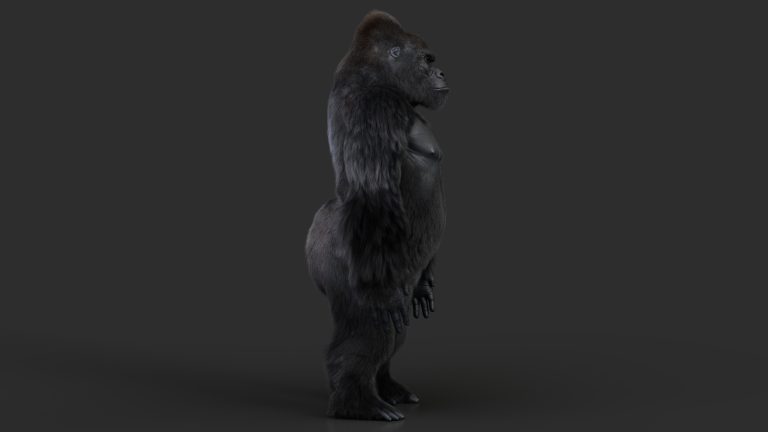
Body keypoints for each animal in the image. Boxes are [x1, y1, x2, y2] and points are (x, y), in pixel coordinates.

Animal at [305, 10, 449, 421]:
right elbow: (375, 193)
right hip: (342, 262)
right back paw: (356, 402)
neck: (377, 75)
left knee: (394, 330)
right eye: (427, 60)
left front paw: (426, 284)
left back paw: (386, 386)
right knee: (373, 327)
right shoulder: (376, 108)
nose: (441, 73)